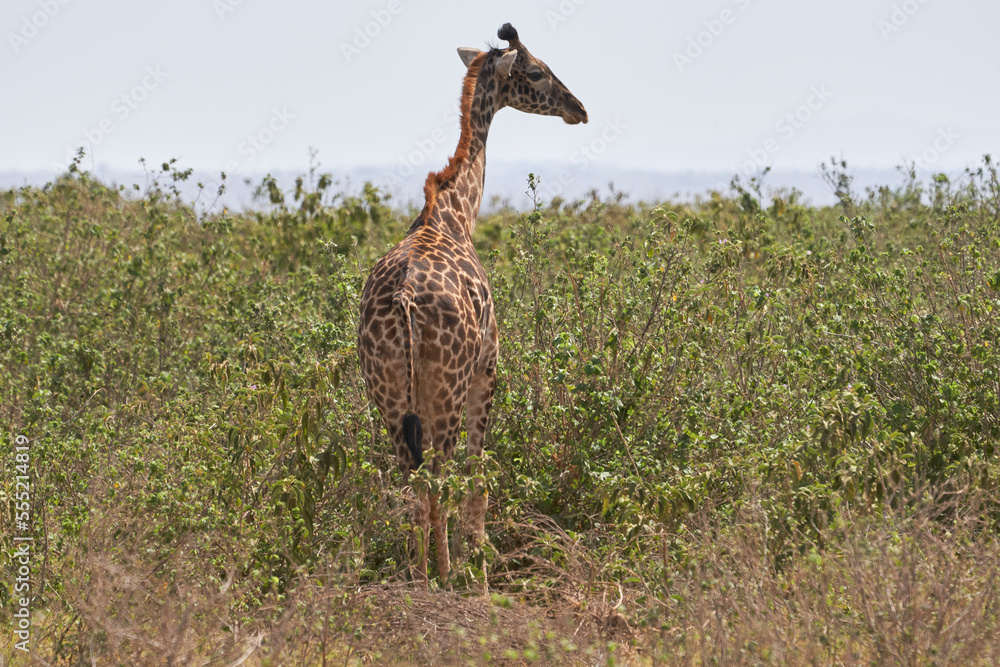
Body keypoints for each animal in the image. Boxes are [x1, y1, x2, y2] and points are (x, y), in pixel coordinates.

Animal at [358, 23, 588, 586]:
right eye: (536, 72)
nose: (578, 108)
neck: (455, 212)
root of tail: (403, 303)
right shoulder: (489, 367)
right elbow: (479, 476)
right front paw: (478, 573)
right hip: (448, 386)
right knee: (440, 478)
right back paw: (443, 579)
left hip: (387, 393)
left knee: (413, 483)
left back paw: (419, 577)